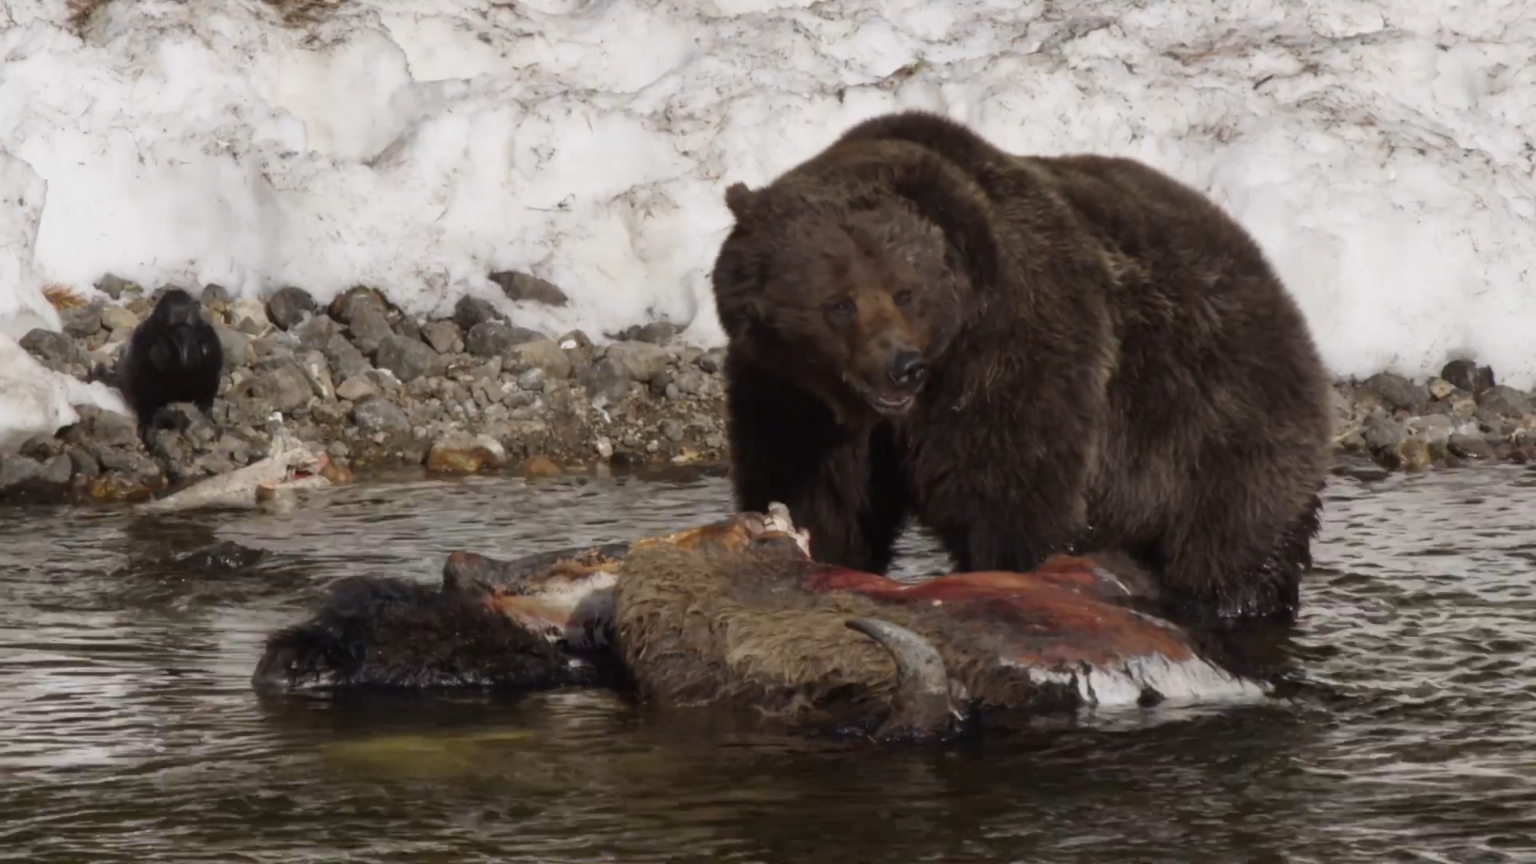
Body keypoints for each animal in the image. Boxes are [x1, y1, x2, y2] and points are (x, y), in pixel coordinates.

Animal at [708, 109, 1334, 628]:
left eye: (907, 291)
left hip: (1219, 414)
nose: (901, 368)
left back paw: (1225, 601)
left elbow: (1012, 493)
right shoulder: (789, 394)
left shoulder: (1014, 352)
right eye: (839, 303)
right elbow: (818, 494)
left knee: (1235, 534)